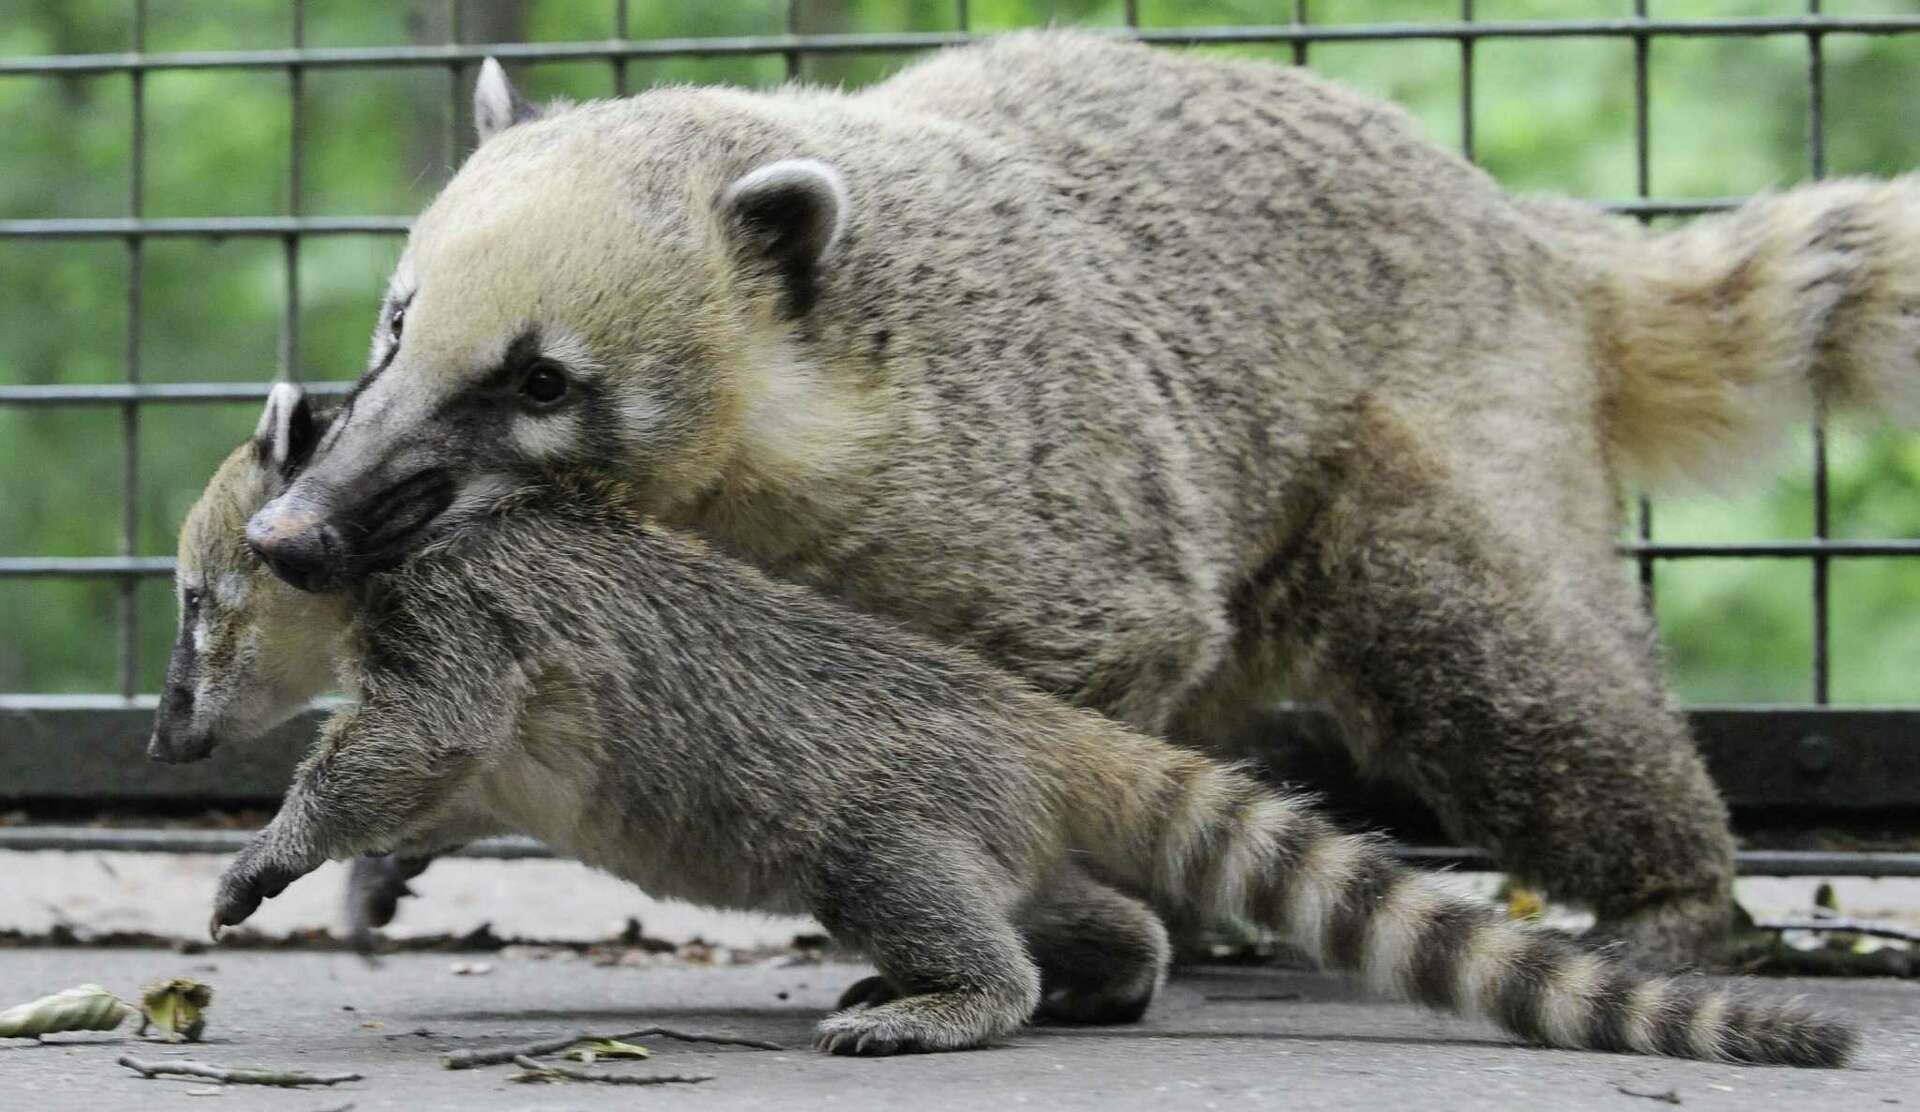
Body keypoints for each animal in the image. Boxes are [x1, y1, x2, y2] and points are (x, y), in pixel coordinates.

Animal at [151, 385, 1856, 1066]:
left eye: (191, 600)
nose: (169, 742)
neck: (383, 531)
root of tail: (1037, 724)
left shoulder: (460, 613)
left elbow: (415, 737)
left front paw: (279, 850)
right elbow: (442, 778)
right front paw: (375, 867)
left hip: (894, 812)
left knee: (927, 903)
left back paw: (967, 995)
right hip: (994, 827)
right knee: (1083, 908)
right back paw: (1116, 962)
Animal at [230, 31, 1920, 967]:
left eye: (539, 379)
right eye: (394, 325)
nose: (291, 538)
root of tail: (1530, 232)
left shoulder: (1019, 484)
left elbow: (1095, 662)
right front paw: (395, 840)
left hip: (1448, 434)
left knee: (1498, 650)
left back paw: (1669, 891)